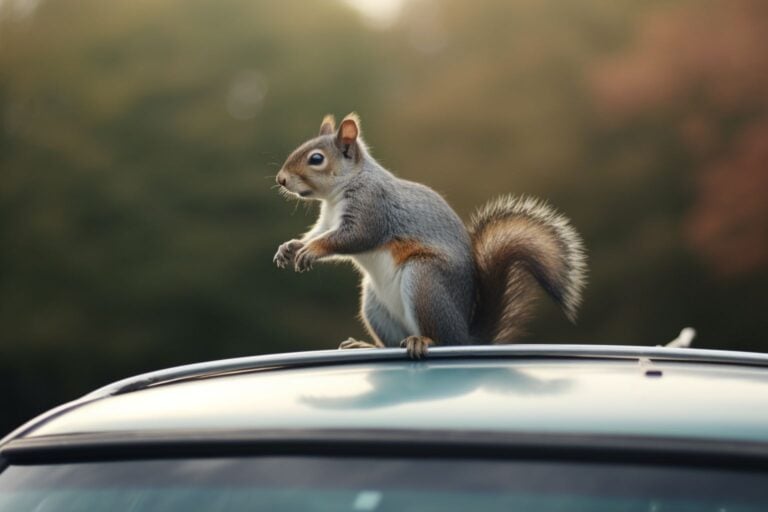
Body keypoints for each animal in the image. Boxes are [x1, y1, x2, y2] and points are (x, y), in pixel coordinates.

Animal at [274, 113, 586, 358]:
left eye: (316, 159)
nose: (281, 179)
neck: (340, 191)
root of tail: (465, 336)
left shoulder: (371, 208)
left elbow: (352, 238)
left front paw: (310, 251)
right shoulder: (327, 220)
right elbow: (317, 233)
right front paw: (291, 247)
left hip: (424, 280)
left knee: (441, 338)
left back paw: (423, 341)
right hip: (374, 303)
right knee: (391, 343)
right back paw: (368, 346)